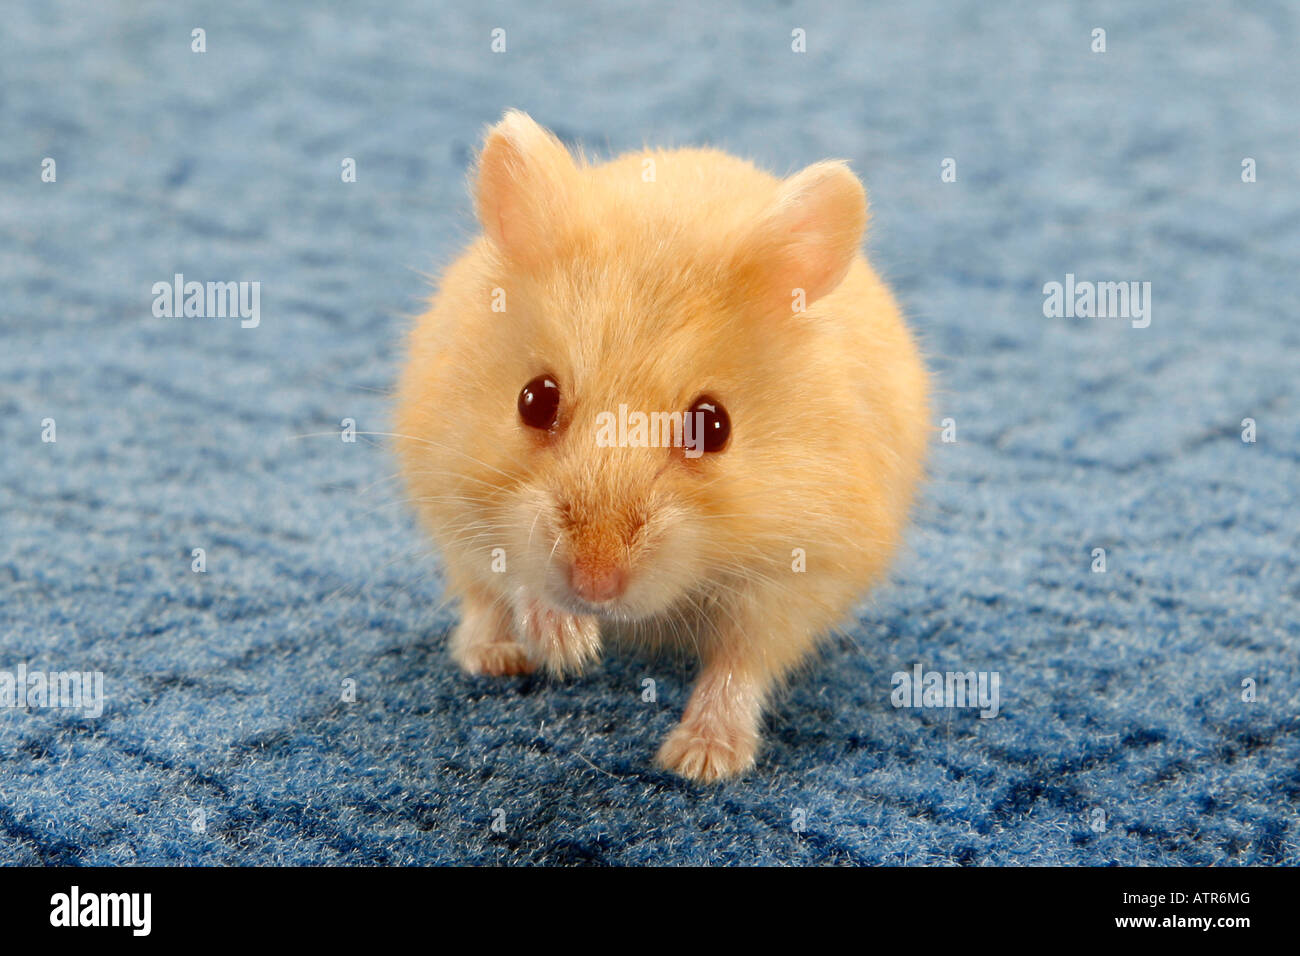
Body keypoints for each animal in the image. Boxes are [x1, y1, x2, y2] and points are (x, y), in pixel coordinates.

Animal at [395, 110, 929, 782]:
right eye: (533, 400)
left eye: (714, 426)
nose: (595, 586)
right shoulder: (453, 486)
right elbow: (515, 570)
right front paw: (571, 649)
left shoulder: (805, 570)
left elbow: (741, 664)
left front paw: (698, 763)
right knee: (479, 600)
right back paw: (496, 657)